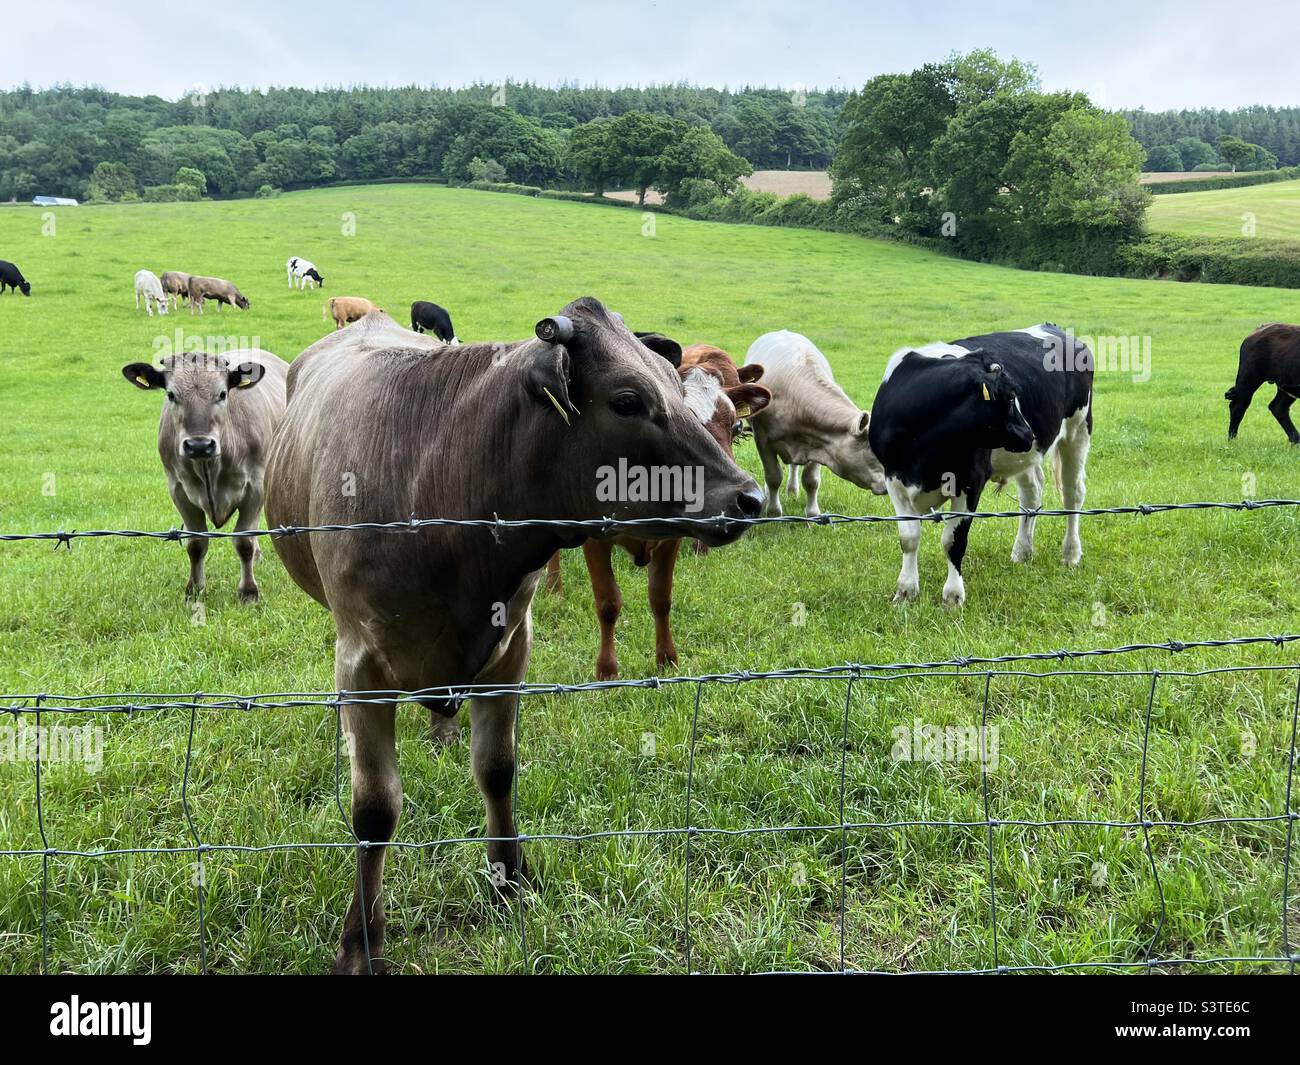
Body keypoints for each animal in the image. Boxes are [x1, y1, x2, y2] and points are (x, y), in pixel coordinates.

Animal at [120, 349, 289, 603]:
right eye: (171, 394)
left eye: (222, 393)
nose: (199, 445)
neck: (209, 468)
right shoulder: (179, 490)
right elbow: (196, 544)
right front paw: (194, 590)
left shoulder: (256, 486)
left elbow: (244, 541)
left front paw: (248, 591)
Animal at [545, 342, 771, 678]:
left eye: (735, 425)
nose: (739, 498)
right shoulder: (595, 538)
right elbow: (608, 602)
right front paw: (607, 671)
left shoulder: (673, 537)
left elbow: (661, 597)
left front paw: (667, 660)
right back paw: (553, 587)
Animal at [743, 330, 887, 516]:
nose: (888, 486)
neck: (795, 402)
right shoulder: (763, 441)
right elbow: (773, 477)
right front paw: (774, 512)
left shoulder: (818, 442)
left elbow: (811, 481)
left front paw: (812, 514)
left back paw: (792, 490)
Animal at [870, 324, 1094, 608]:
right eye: (1011, 396)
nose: (1029, 434)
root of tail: (1053, 328)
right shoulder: (894, 479)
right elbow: (909, 538)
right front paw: (906, 591)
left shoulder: (971, 480)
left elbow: (953, 540)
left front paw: (953, 596)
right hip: (1026, 455)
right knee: (1032, 493)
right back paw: (1022, 551)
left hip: (1078, 430)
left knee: (1073, 494)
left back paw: (1071, 553)